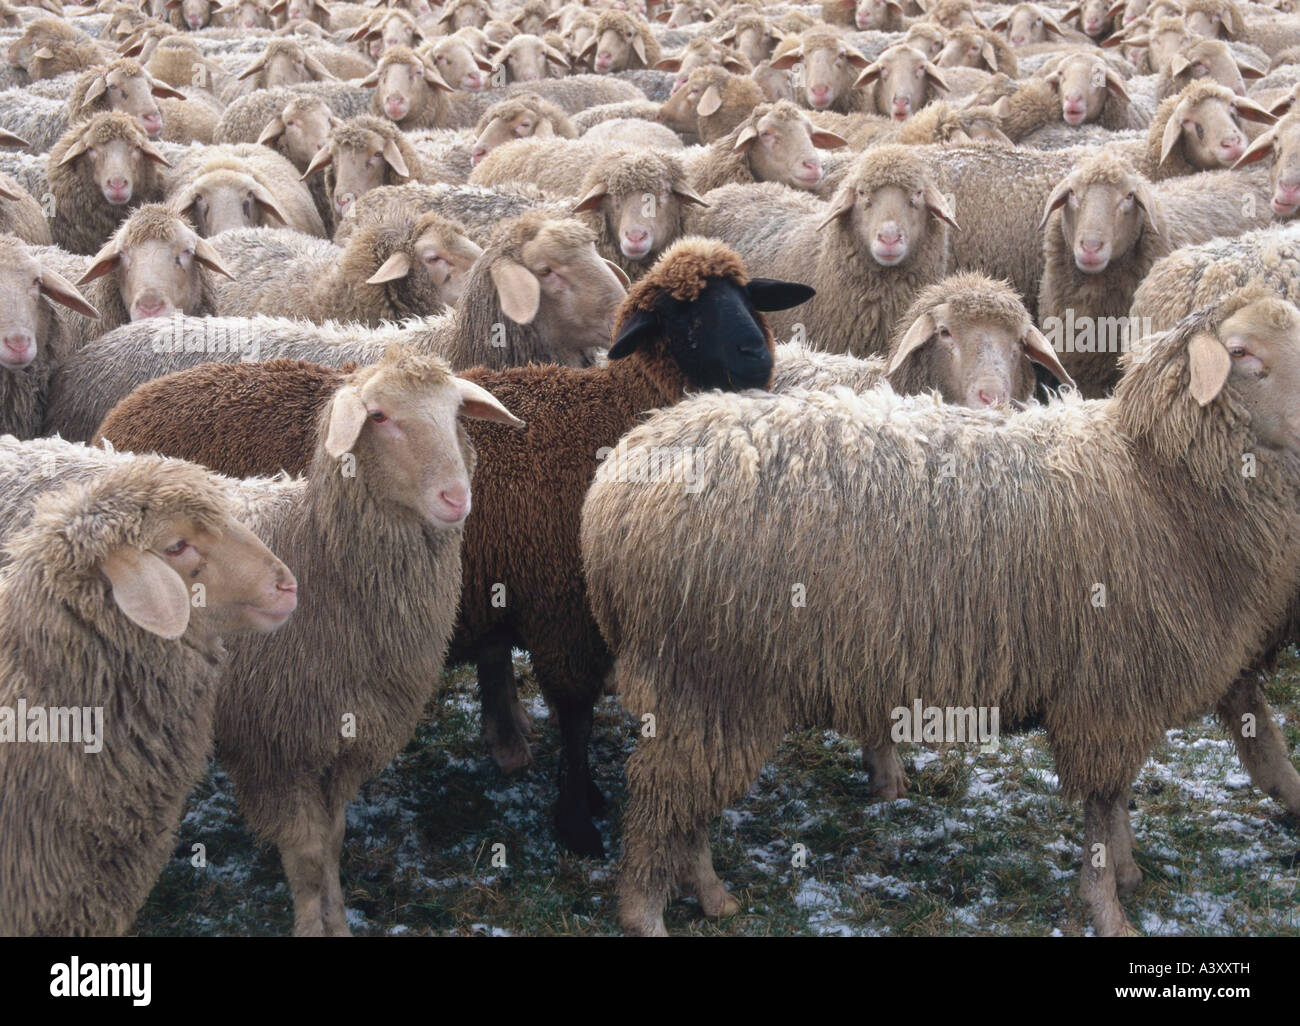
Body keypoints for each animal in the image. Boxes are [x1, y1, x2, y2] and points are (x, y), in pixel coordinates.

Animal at [91, 236, 813, 858]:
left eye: (746, 297)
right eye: (684, 318)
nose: (755, 356)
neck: (610, 417)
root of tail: (117, 420)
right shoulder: (563, 606)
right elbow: (575, 715)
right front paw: (578, 820)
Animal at [94, 345, 520, 935]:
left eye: (457, 411)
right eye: (379, 416)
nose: (456, 498)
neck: (320, 554)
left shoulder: (347, 738)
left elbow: (334, 840)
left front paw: (338, 920)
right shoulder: (273, 745)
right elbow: (308, 853)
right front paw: (313, 924)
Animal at [580, 285, 1300, 936]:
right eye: (1241, 351)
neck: (1157, 477)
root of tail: (618, 478)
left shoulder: (1120, 690)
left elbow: (1117, 800)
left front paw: (1126, 872)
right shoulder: (1106, 692)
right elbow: (1100, 806)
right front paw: (1109, 910)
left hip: (711, 685)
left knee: (685, 799)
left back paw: (710, 894)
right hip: (705, 676)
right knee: (660, 797)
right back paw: (645, 914)